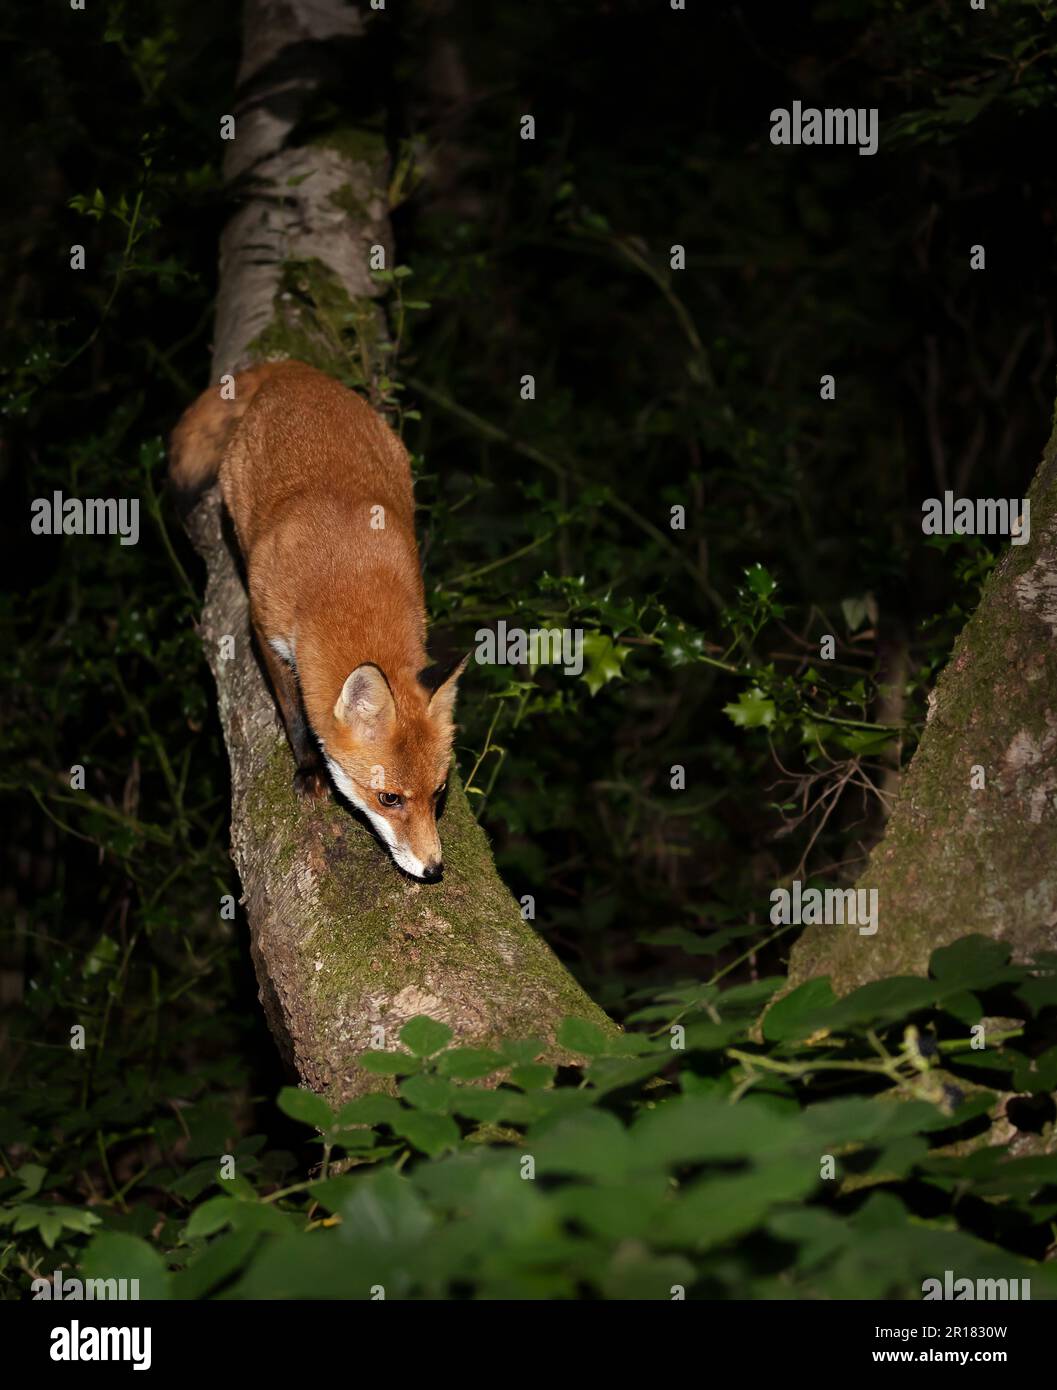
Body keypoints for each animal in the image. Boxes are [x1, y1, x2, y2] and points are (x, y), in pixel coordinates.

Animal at [169, 359, 465, 883]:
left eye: (439, 792)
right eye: (389, 798)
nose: (433, 871)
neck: (351, 584)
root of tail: (293, 370)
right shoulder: (265, 632)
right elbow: (294, 714)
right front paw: (308, 769)